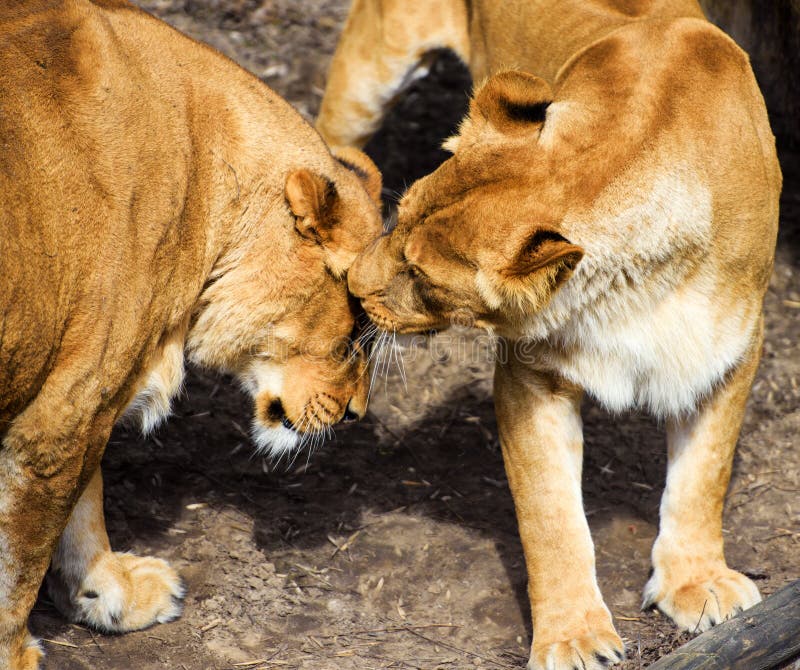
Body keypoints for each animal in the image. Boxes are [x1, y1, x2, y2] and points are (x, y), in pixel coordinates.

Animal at [0, 1, 383, 668]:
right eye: (357, 324)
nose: (357, 412)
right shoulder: (56, 418)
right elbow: (20, 558)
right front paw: (14, 652)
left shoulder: (87, 394)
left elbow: (84, 498)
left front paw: (106, 590)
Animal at [316, 1, 782, 668]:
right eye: (396, 218)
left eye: (421, 276)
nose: (354, 289)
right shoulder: (529, 375)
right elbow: (551, 517)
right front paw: (573, 637)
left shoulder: (730, 349)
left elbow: (703, 476)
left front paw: (697, 583)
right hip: (368, 73)